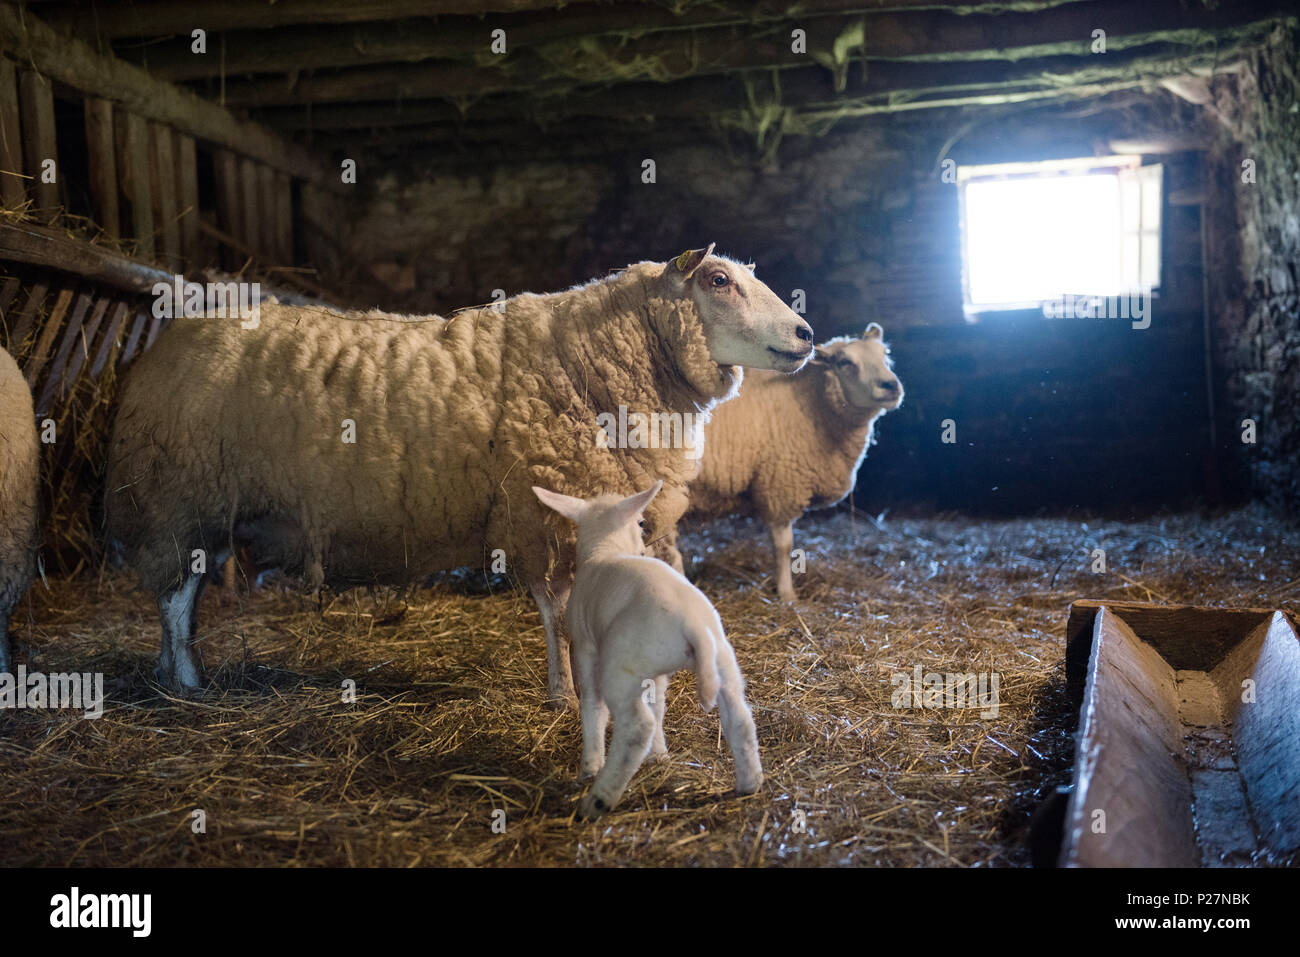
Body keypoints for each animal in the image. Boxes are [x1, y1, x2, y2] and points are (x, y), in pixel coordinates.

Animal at [105, 246, 814, 704]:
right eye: (718, 280)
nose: (807, 333)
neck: (593, 360)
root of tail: (165, 345)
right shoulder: (542, 512)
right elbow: (557, 610)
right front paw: (565, 694)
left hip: (202, 510)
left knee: (181, 599)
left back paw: (173, 677)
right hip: (179, 496)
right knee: (174, 601)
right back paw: (189, 687)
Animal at [532, 480, 762, 818]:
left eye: (641, 523)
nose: (643, 550)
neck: (606, 549)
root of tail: (693, 624)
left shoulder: (587, 648)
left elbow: (593, 706)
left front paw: (590, 766)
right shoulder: (657, 674)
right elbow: (658, 704)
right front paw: (659, 756)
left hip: (621, 666)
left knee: (637, 727)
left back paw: (598, 799)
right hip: (721, 660)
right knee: (740, 719)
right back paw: (750, 784)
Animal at [676, 323, 903, 602]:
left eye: (884, 355)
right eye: (844, 362)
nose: (890, 386)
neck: (811, 406)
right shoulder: (781, 485)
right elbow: (784, 546)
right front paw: (787, 594)